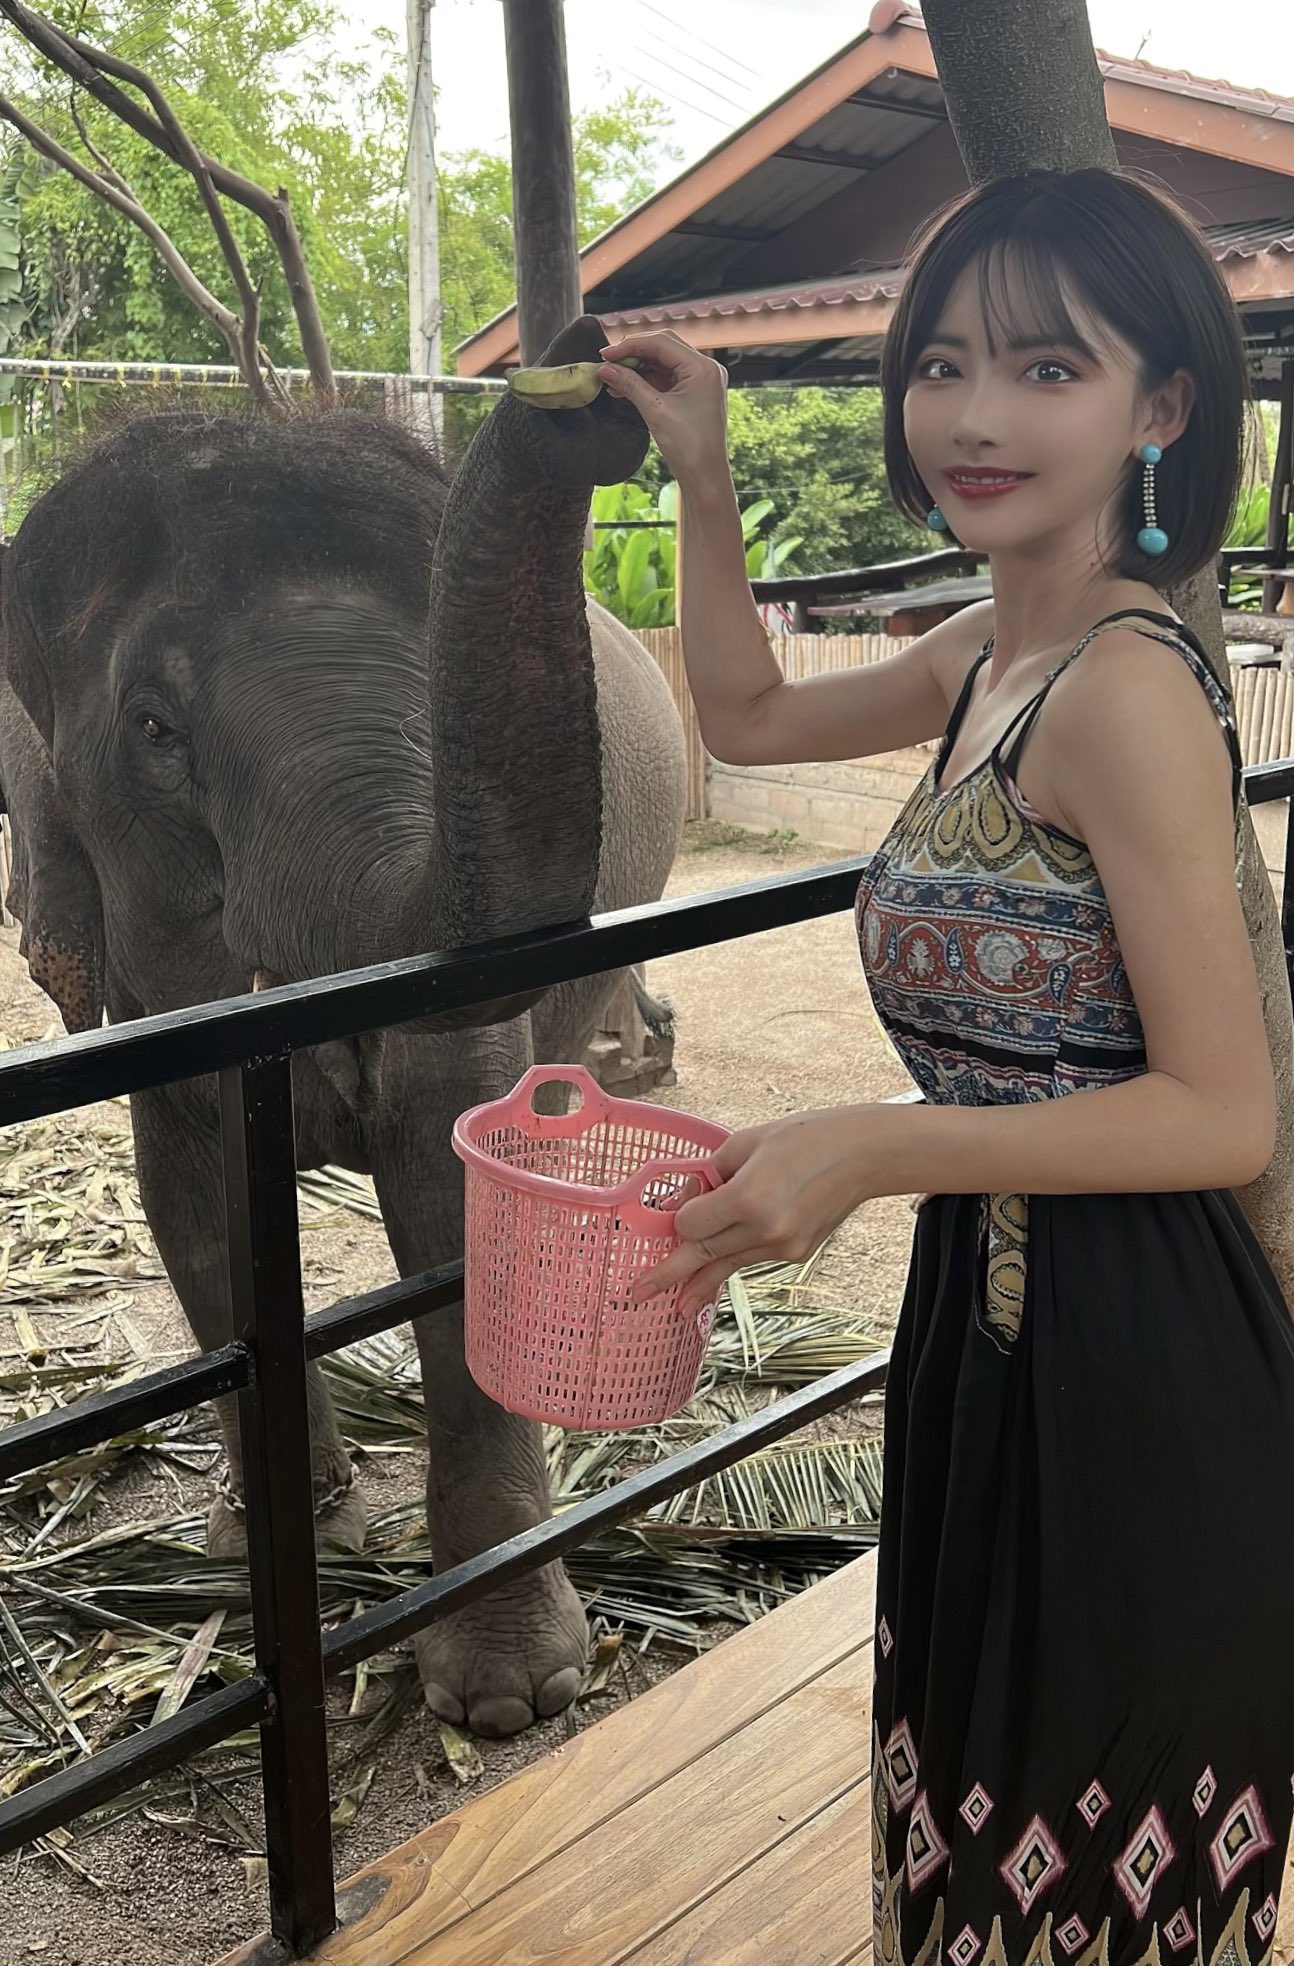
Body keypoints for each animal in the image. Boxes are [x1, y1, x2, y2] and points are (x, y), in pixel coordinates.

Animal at [0, 316, 689, 1737]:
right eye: (152, 727)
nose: (591, 375)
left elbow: (449, 1178)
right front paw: (262, 1539)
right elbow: (187, 1200)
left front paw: (510, 1701)